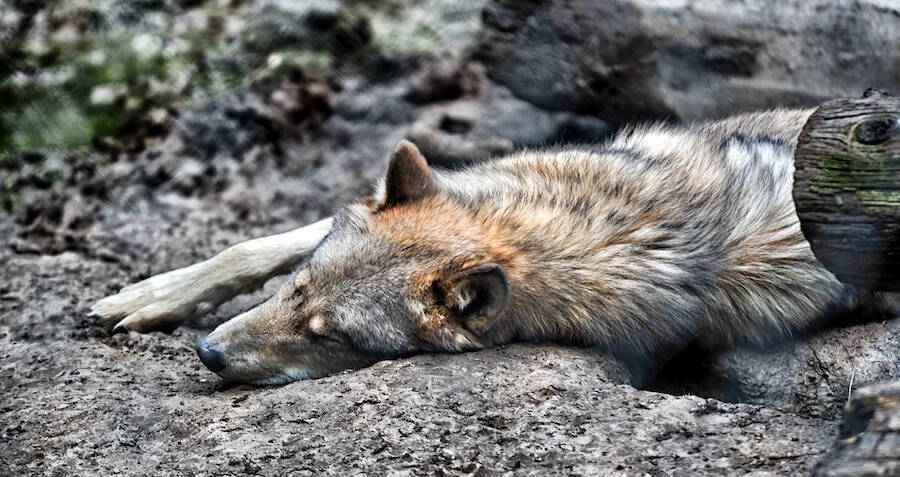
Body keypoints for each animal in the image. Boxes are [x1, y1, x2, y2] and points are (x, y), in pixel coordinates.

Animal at [91, 108, 888, 385]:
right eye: (296, 293)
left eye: (331, 337)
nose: (207, 354)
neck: (523, 235)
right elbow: (253, 246)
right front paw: (146, 297)